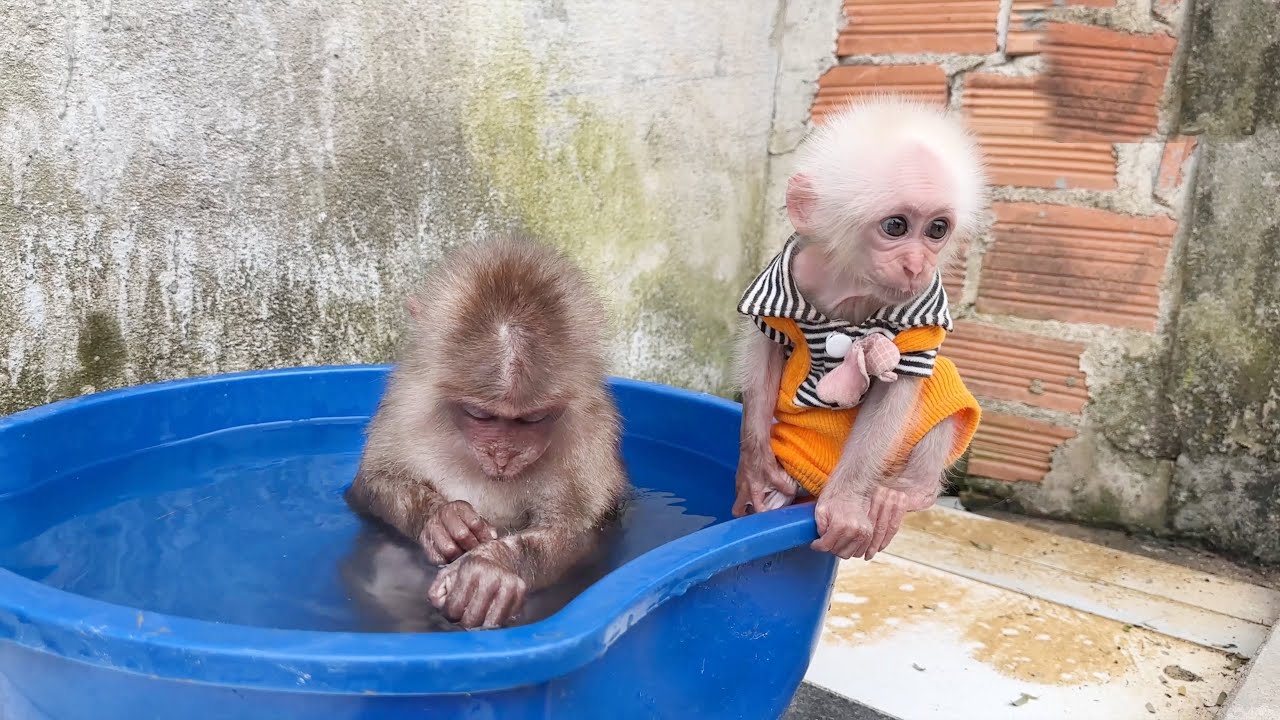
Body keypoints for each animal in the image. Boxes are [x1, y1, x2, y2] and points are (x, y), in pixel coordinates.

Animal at [344, 232, 629, 630]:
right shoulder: (409, 401)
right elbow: (370, 483)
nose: (502, 454)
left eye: (532, 419)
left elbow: (573, 532)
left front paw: (490, 568)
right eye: (478, 414)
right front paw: (443, 520)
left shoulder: (591, 430)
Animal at [732, 95, 987, 562]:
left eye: (937, 229)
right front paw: (755, 472)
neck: (853, 285)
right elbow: (766, 349)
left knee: (942, 382)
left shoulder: (928, 301)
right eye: (896, 226)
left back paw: (909, 492)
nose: (917, 265)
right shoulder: (782, 275)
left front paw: (845, 503)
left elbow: (904, 378)